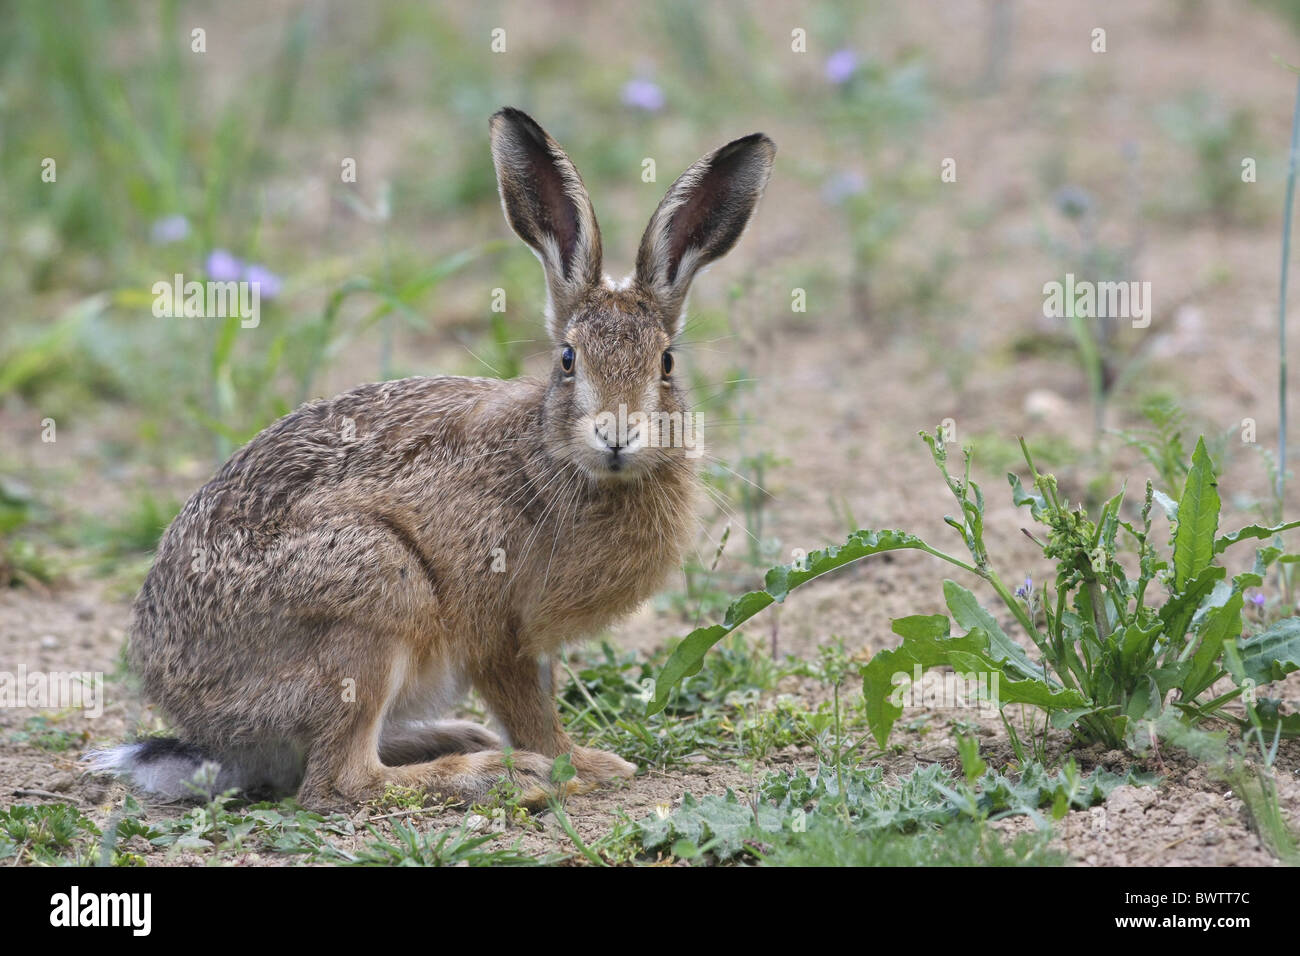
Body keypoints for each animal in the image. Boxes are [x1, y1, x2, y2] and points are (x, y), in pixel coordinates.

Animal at [85, 107, 775, 809]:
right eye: (567, 359)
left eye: (666, 363)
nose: (617, 433)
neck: (553, 458)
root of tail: (201, 721)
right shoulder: (496, 630)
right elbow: (532, 710)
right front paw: (582, 766)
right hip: (371, 600)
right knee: (339, 782)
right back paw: (497, 773)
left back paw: (464, 740)